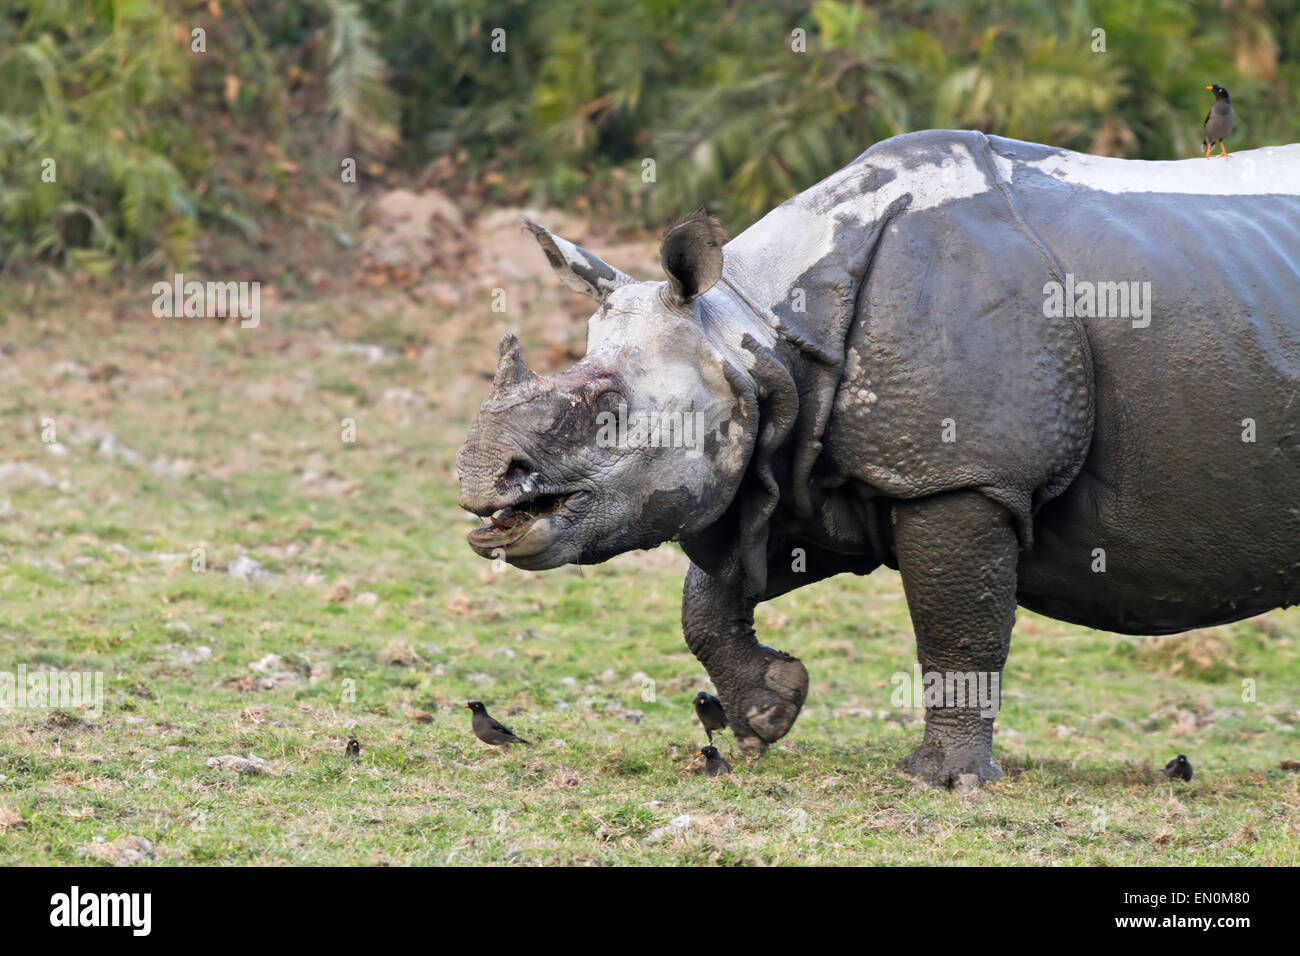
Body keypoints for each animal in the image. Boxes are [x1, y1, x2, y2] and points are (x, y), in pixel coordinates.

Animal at [457, 129, 1300, 787]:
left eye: (607, 410)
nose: (479, 487)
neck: (754, 330)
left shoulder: (959, 475)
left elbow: (958, 624)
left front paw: (945, 780)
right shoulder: (805, 471)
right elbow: (711, 595)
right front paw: (772, 710)